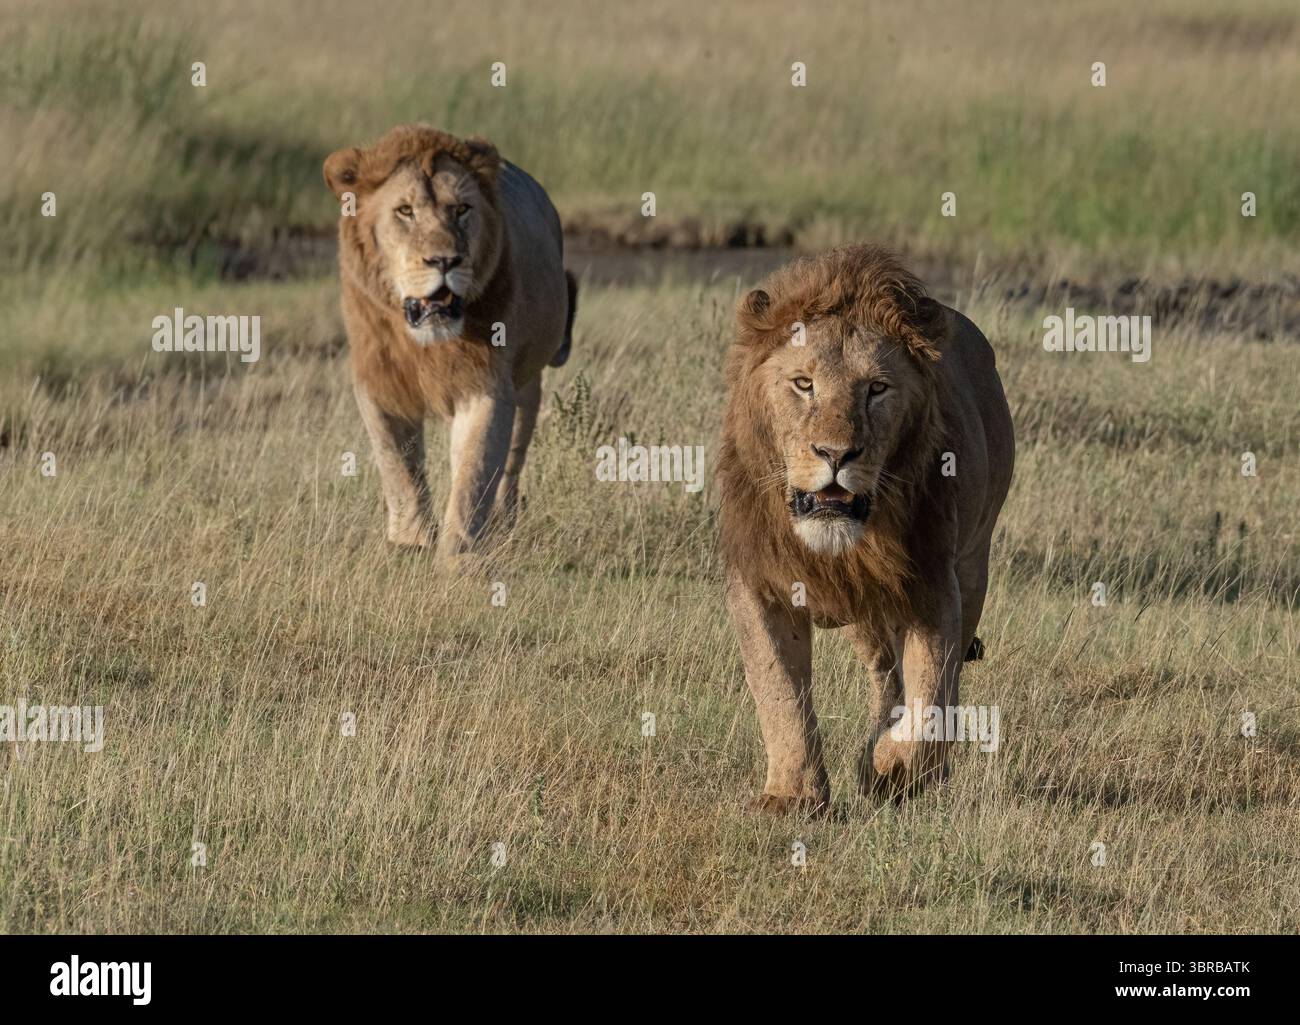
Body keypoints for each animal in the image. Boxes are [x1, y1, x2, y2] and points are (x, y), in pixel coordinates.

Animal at [323, 124, 577, 563]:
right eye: (405, 211)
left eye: (461, 209)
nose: (445, 261)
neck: (425, 343)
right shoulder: (379, 384)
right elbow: (398, 466)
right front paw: (411, 542)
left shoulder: (486, 386)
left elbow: (474, 474)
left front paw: (459, 558)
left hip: (528, 381)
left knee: (511, 464)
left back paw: (503, 526)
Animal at [718, 244, 1014, 812]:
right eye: (804, 383)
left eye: (877, 389)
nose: (836, 454)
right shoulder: (759, 581)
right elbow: (779, 689)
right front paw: (793, 796)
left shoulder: (930, 582)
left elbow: (932, 693)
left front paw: (895, 768)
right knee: (885, 675)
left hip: (972, 564)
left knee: (941, 681)